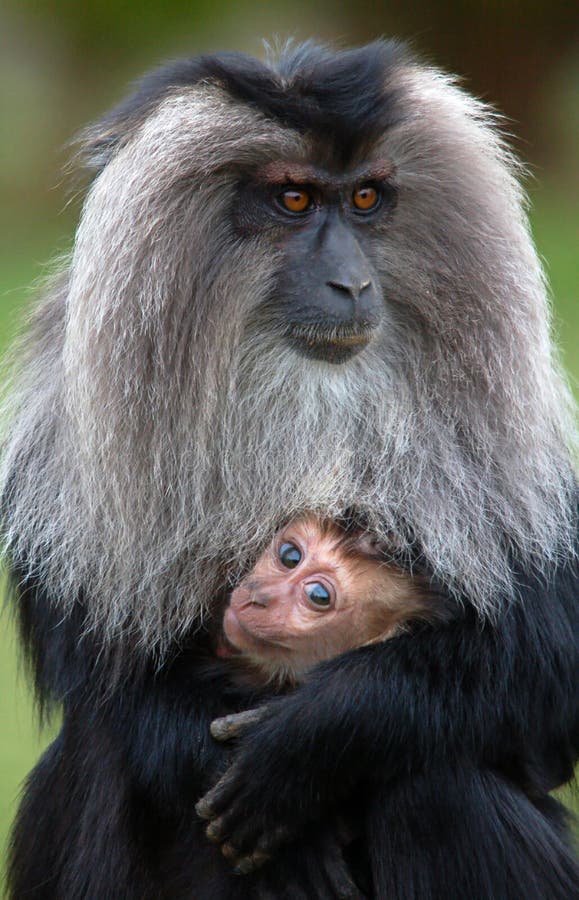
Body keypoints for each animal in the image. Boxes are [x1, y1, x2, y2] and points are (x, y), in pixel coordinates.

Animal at [2, 40, 578, 899]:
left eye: (366, 198)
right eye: (294, 199)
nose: (352, 282)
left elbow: (547, 674)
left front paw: (312, 741)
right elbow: (112, 690)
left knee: (438, 783)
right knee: (99, 756)